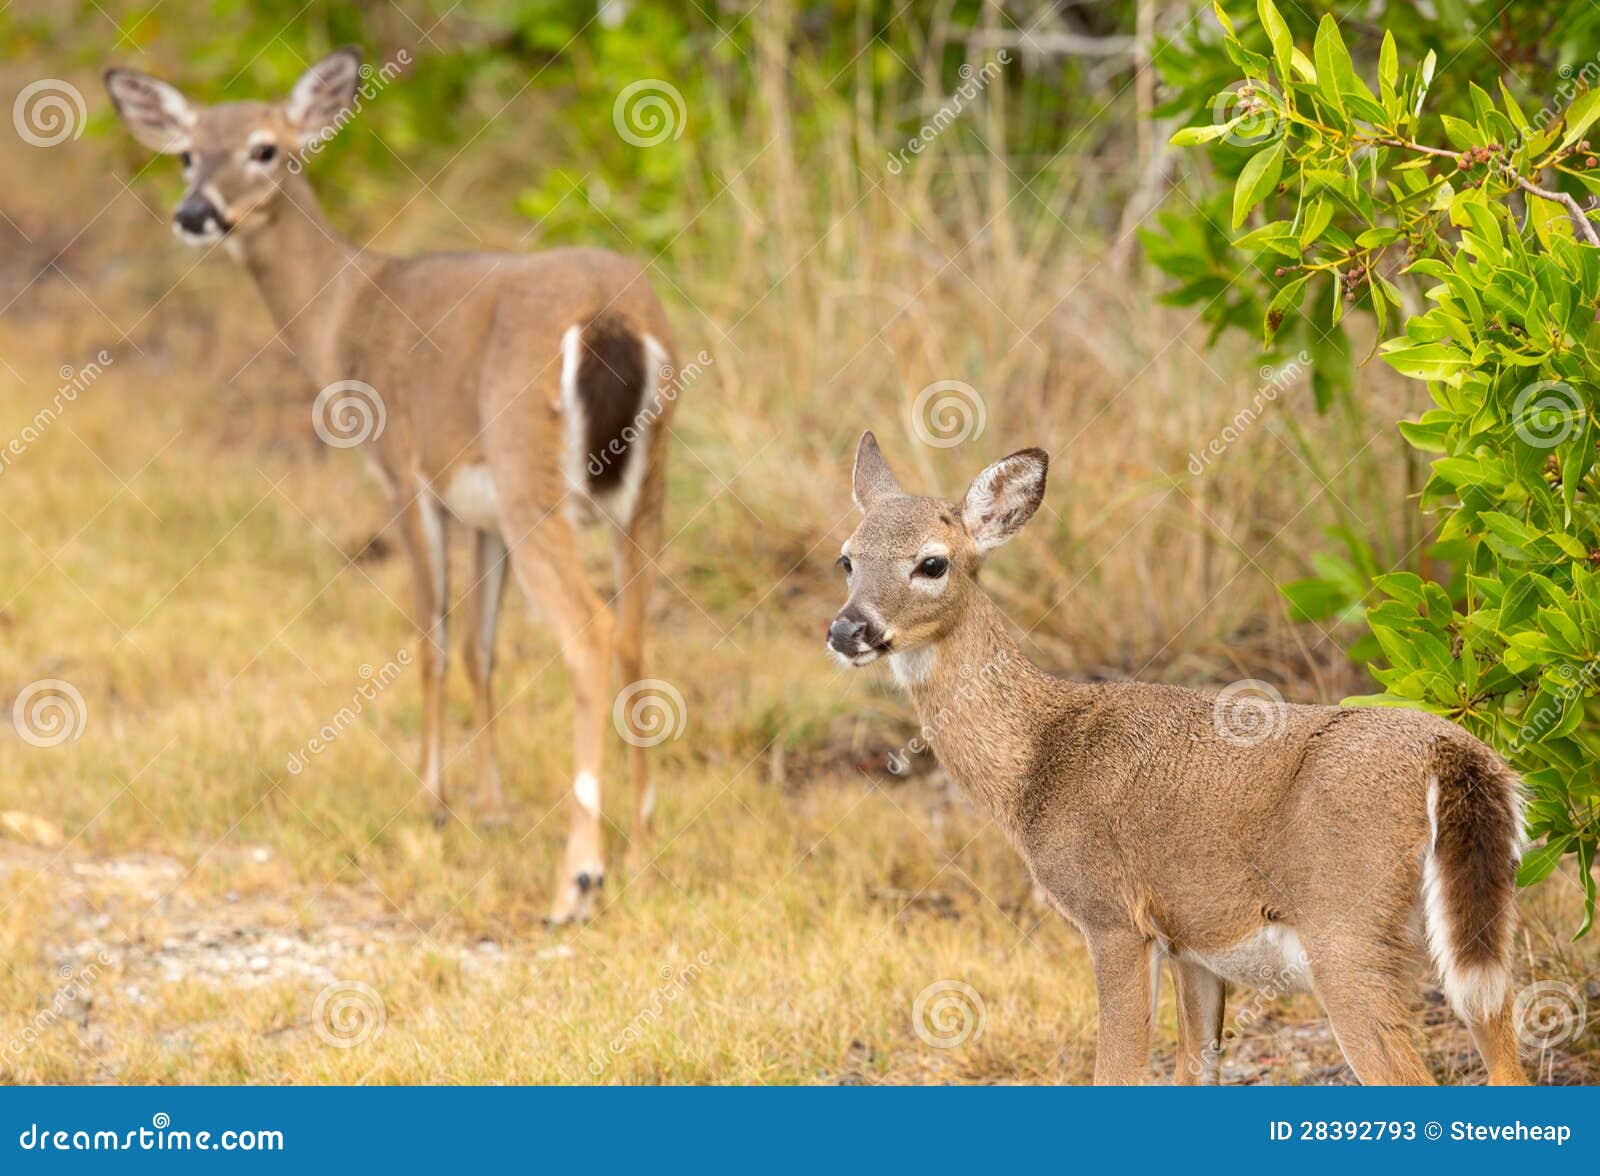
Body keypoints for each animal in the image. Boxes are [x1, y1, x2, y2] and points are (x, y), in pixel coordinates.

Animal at [104, 49, 678, 923]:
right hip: (642, 492)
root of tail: (612, 317)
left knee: (590, 632)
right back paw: (642, 857)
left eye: (267, 149)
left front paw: (431, 802)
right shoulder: (479, 510)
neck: (343, 314)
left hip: (531, 476)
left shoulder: (406, 471)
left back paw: (577, 879)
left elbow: (432, 642)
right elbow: (481, 648)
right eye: (185, 154)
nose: (196, 213)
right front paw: (491, 806)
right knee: (638, 634)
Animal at [828, 431, 1529, 1085]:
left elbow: (1116, 1071)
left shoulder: (1112, 916)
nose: (846, 630)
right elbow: (1195, 1069)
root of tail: (1449, 754)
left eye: (933, 563)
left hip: (1348, 931)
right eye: (847, 560)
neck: (1038, 758)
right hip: (1478, 933)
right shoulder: (1192, 943)